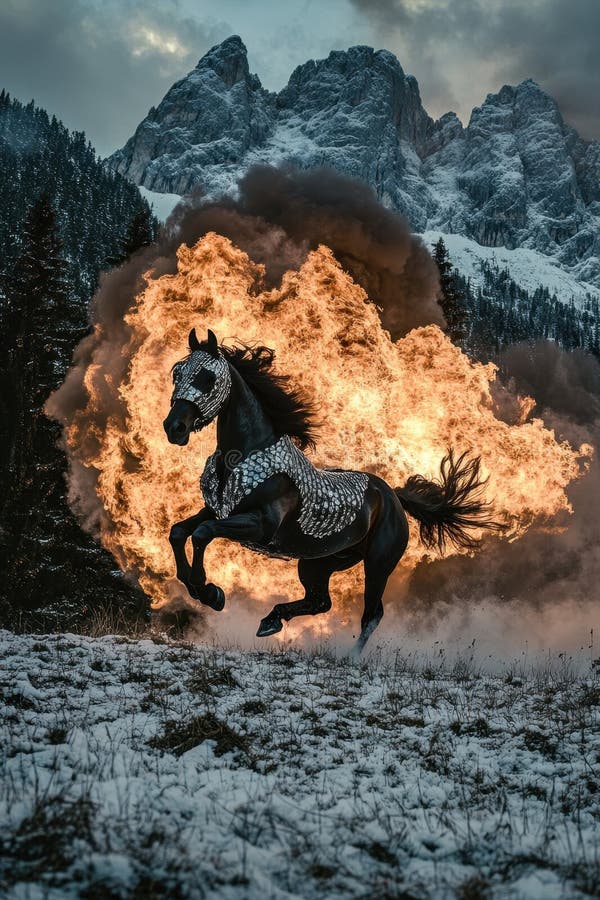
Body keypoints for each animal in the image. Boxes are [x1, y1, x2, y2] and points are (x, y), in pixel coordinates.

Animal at [163, 328, 500, 652]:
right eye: (177, 373)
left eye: (207, 378)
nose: (173, 428)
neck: (244, 455)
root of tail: (392, 496)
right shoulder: (216, 510)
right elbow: (179, 532)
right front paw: (196, 587)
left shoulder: (260, 525)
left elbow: (203, 533)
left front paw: (209, 592)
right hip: (319, 562)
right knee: (320, 602)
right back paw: (271, 621)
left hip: (378, 564)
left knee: (371, 614)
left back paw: (351, 656)